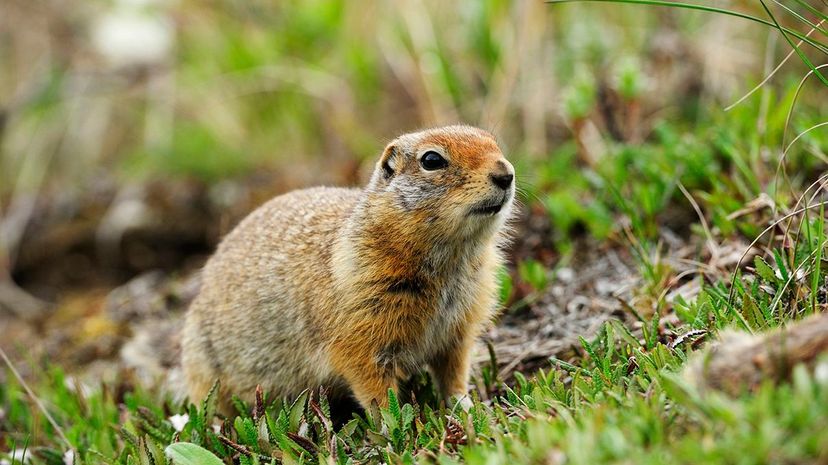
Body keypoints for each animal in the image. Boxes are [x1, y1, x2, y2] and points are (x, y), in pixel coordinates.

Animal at [184, 124, 516, 410]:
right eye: (431, 160)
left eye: (494, 142)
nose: (506, 174)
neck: (451, 259)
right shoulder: (361, 330)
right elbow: (373, 385)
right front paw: (394, 425)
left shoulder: (459, 329)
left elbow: (453, 373)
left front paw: (467, 407)